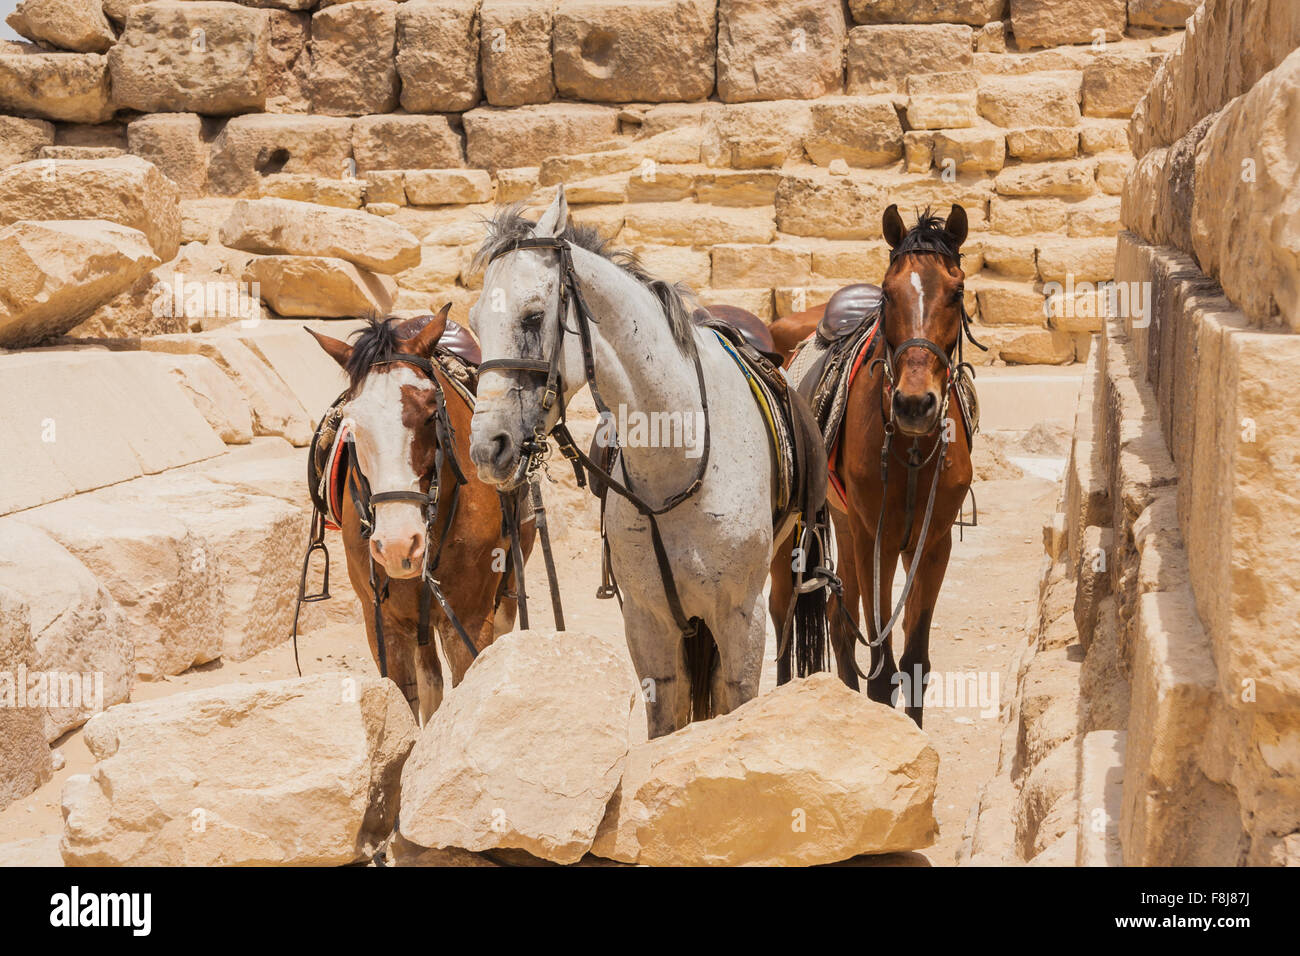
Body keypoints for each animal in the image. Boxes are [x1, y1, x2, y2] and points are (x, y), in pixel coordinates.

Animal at [306, 306, 533, 723]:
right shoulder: (384, 623)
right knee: (430, 679)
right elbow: (404, 704)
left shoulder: (470, 619)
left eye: (431, 414)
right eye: (351, 424)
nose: (398, 544)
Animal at [465, 187, 829, 739]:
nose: (489, 448)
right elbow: (666, 723)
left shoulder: (740, 618)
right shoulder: (647, 623)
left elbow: (736, 703)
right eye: (476, 322)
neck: (677, 460)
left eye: (531, 316)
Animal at [771, 205, 977, 727]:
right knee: (783, 611)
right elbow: (881, 667)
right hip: (802, 535)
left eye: (957, 291)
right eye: (886, 293)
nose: (914, 404)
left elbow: (915, 658)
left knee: (837, 623)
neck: (910, 449)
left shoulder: (932, 543)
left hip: (847, 527)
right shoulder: (876, 541)